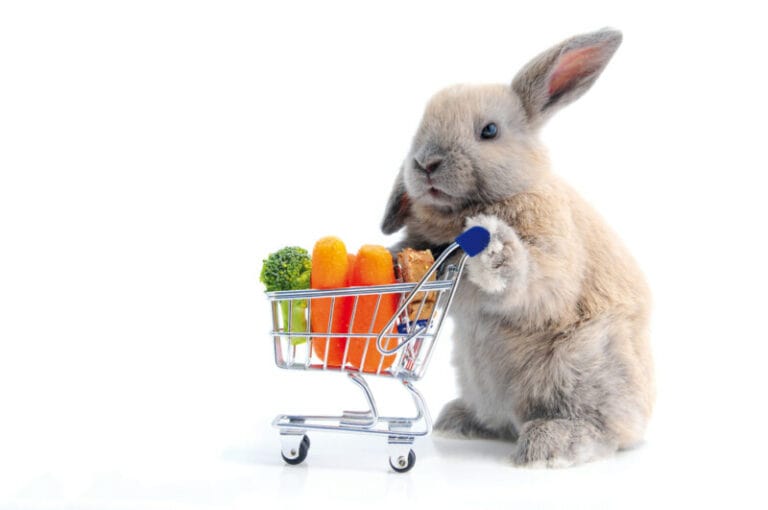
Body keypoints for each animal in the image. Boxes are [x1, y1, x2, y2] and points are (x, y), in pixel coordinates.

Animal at [381, 28, 654, 468]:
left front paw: (493, 248)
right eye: (419, 129)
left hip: (582, 364)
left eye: (489, 131)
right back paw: (457, 421)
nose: (425, 164)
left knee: (603, 431)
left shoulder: (551, 260)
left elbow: (533, 279)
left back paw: (549, 443)